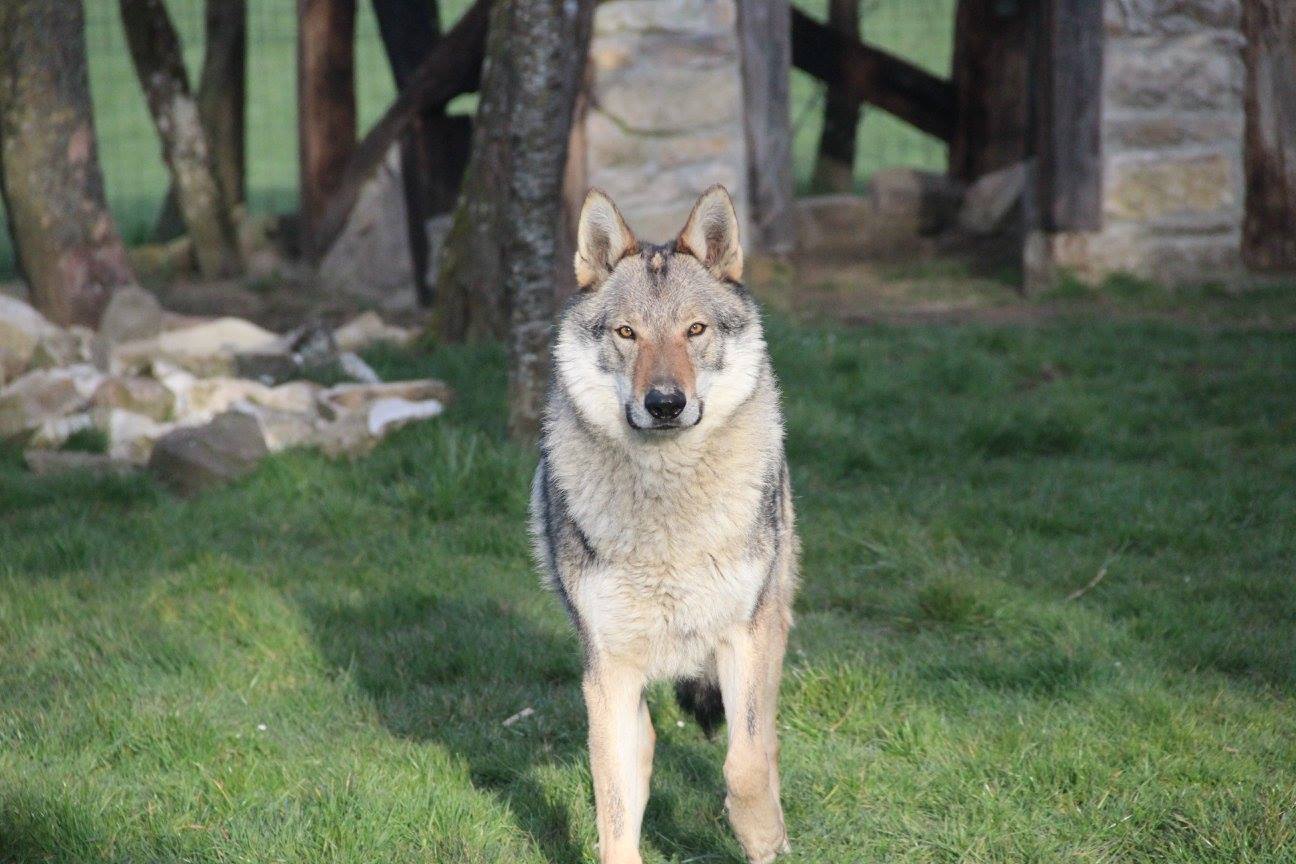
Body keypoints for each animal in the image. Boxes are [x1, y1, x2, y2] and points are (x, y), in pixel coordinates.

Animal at [530, 185, 798, 864]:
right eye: (627, 333)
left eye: (694, 329)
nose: (666, 403)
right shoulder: (607, 675)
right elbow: (614, 810)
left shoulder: (742, 638)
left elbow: (745, 768)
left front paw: (762, 836)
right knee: (647, 745)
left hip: (772, 621)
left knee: (764, 742)